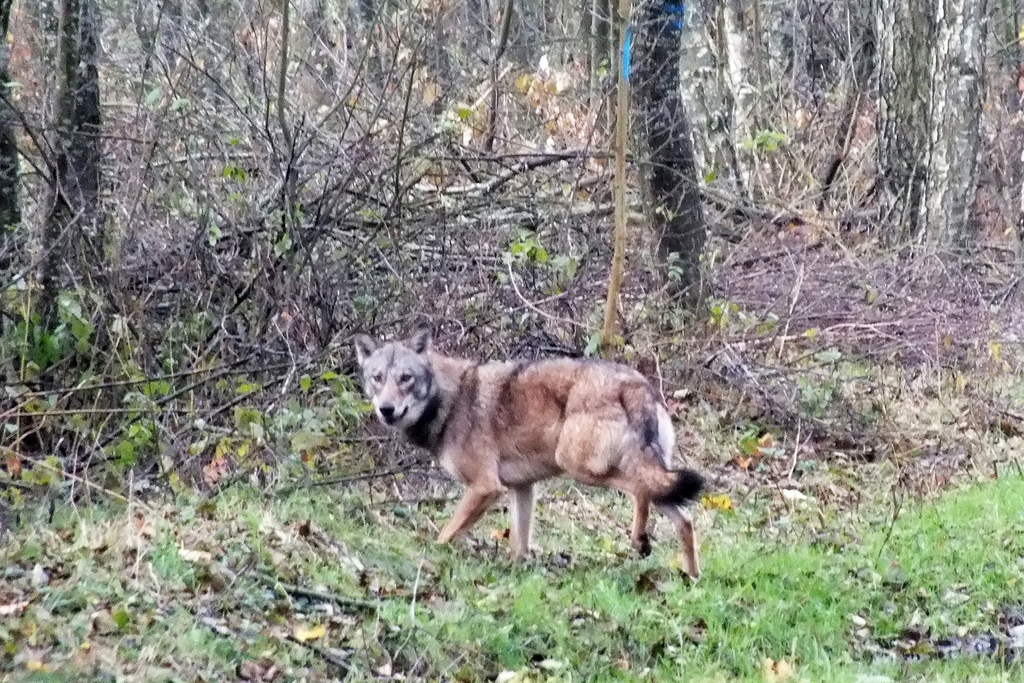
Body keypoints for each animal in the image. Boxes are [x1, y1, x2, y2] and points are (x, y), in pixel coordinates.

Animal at [353, 324, 706, 579]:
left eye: (405, 378)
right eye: (377, 378)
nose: (386, 409)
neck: (449, 402)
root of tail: (635, 384)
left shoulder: (485, 487)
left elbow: (445, 535)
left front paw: (431, 560)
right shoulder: (522, 489)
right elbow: (518, 547)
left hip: (581, 466)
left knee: (639, 489)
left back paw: (639, 540)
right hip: (646, 478)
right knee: (684, 518)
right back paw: (691, 579)